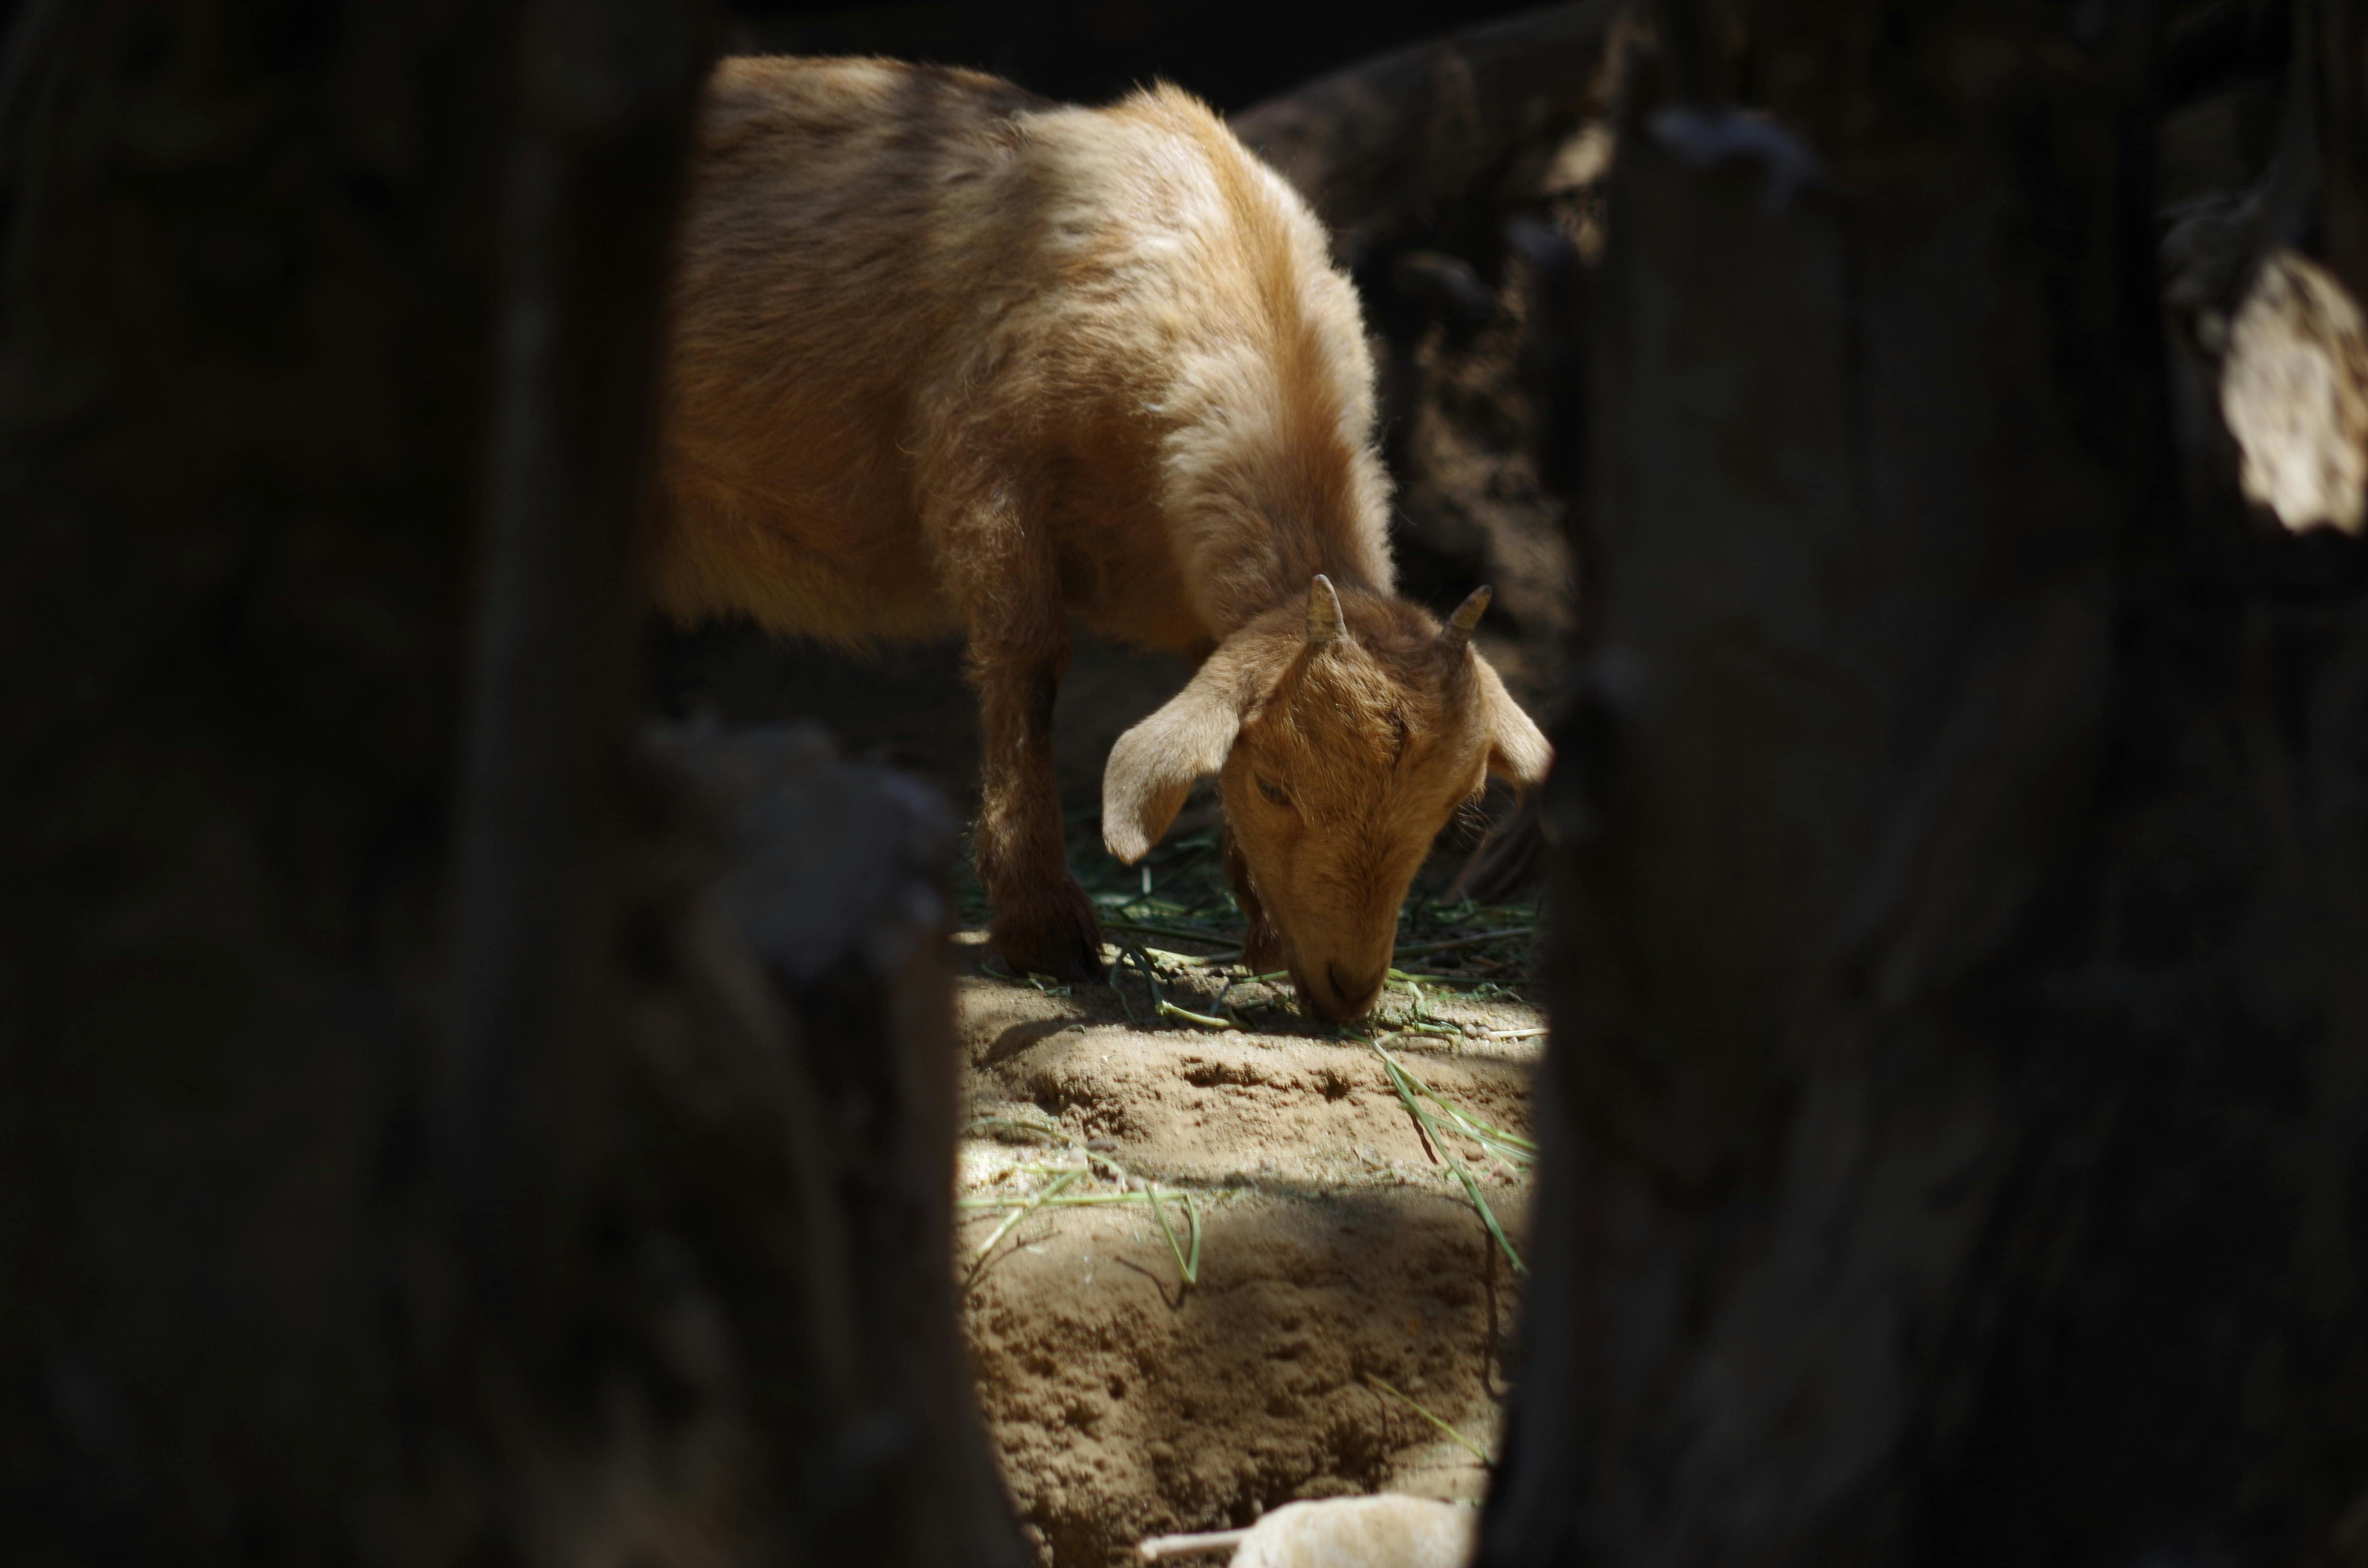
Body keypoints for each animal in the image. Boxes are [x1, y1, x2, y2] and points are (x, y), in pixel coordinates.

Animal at [655, 56, 1551, 1021]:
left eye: (1452, 810)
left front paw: (1262, 929)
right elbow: (1027, 663)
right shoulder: (983, 452)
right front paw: (1042, 925)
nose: (1349, 989)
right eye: (1275, 785)